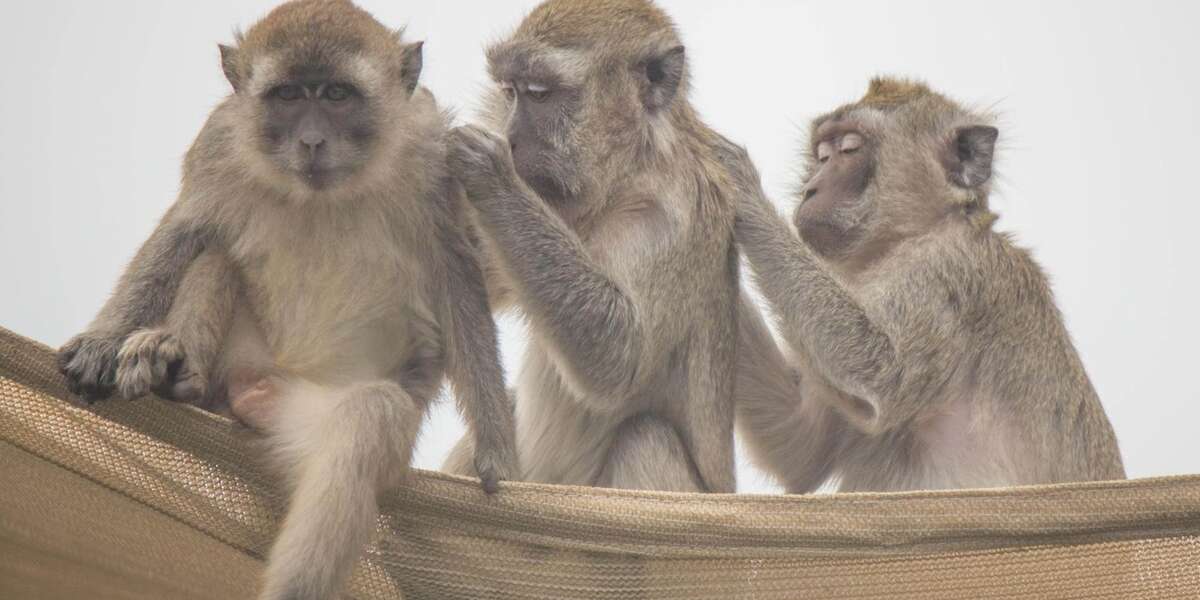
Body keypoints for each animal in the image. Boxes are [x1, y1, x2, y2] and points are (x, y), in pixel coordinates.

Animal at [56, 2, 518, 599]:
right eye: (290, 96)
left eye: (338, 95)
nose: (312, 141)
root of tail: (258, 386)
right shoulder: (220, 143)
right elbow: (184, 231)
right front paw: (104, 339)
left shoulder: (430, 154)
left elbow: (455, 273)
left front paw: (497, 452)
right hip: (240, 357)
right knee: (218, 256)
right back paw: (176, 369)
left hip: (304, 410)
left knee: (370, 419)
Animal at [440, 0, 740, 493]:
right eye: (510, 91)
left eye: (540, 93)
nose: (512, 140)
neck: (626, 174)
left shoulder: (668, 218)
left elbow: (617, 351)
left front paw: (490, 172)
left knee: (645, 437)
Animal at [728, 77, 1125, 493]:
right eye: (821, 155)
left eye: (849, 149)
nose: (811, 189)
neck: (915, 234)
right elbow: (798, 446)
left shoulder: (948, 273)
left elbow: (879, 372)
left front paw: (736, 181)